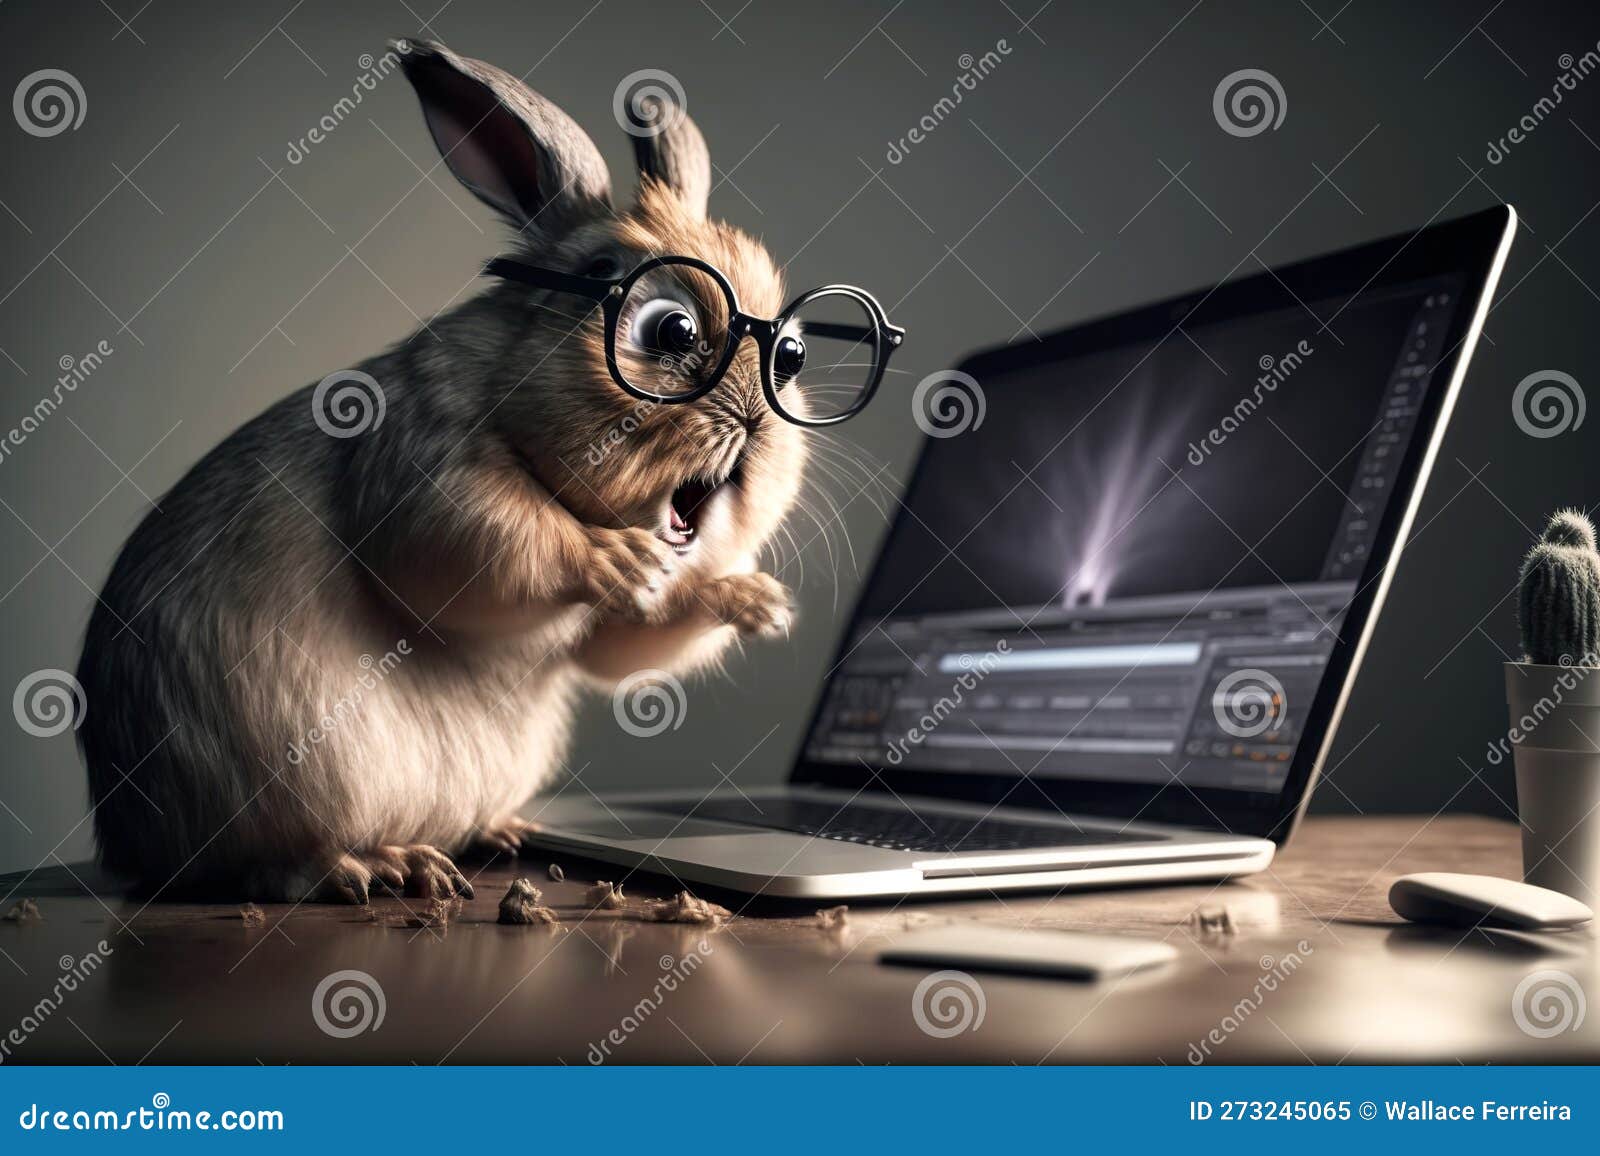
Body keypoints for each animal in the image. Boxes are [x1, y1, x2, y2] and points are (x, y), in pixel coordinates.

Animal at [74, 39, 811, 903]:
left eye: (791, 356)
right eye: (672, 331)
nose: (760, 421)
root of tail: (134, 846)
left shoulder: (616, 629)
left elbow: (630, 644)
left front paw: (756, 601)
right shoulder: (430, 477)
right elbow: (511, 545)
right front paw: (617, 558)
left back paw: (497, 831)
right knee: (271, 869)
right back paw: (384, 865)